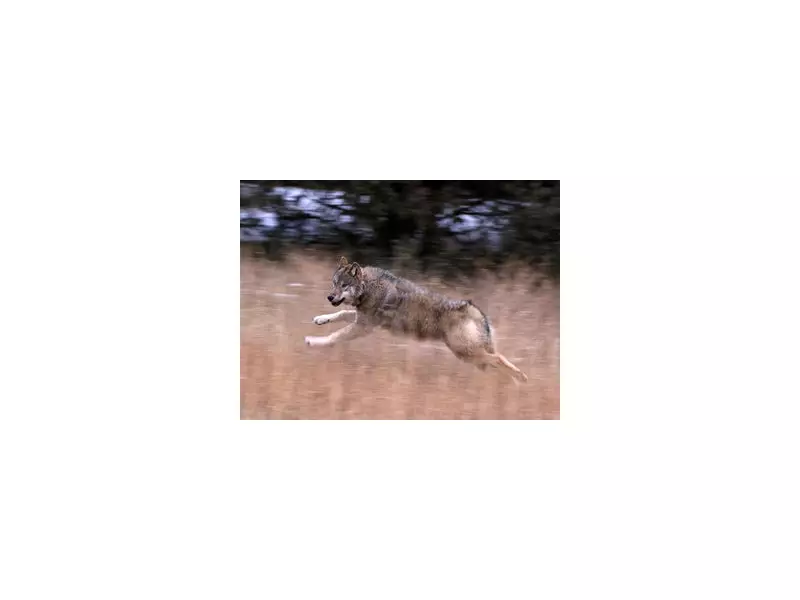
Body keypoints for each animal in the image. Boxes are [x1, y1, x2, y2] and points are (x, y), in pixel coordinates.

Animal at [304, 257, 528, 382]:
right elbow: (340, 315)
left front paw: (313, 342)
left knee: (499, 359)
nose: (329, 297)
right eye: (334, 283)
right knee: (496, 362)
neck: (368, 287)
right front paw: (320, 319)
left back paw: (521, 379)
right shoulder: (362, 319)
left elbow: (334, 337)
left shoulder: (364, 326)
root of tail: (474, 309)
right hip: (473, 358)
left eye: (344, 285)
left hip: (467, 353)